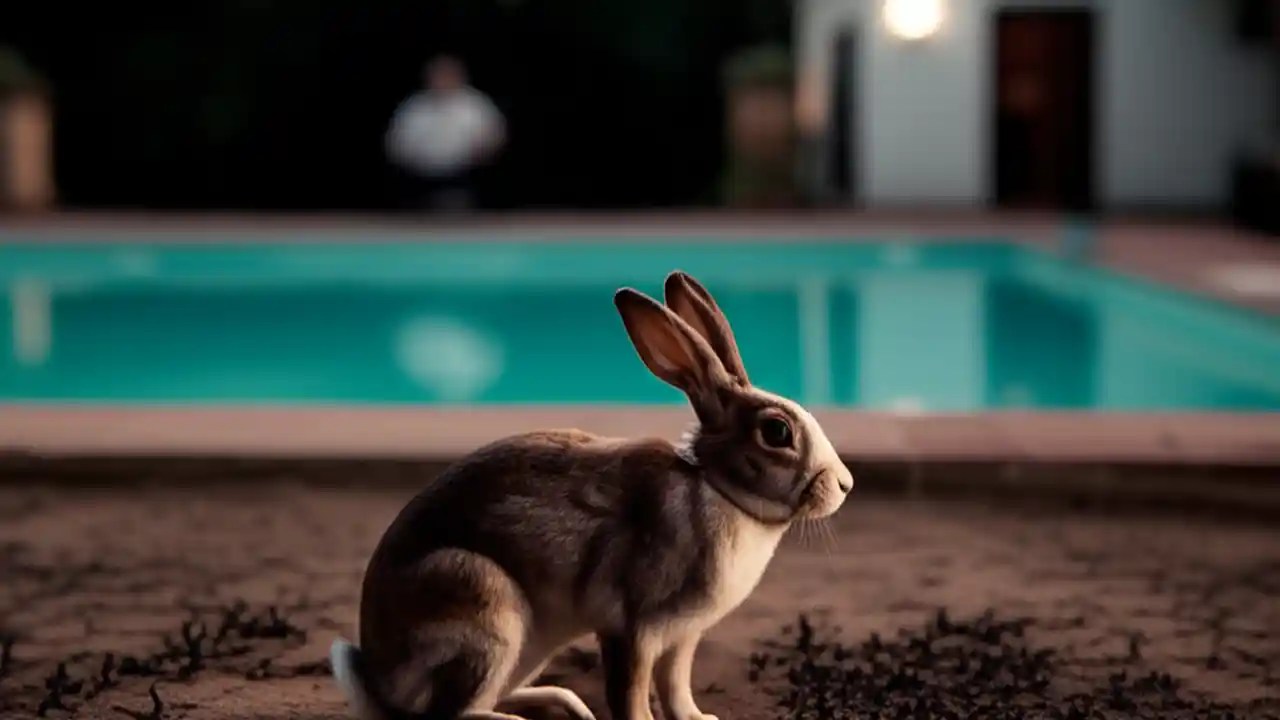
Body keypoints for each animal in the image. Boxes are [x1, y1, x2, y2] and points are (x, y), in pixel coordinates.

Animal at [330, 271, 854, 720]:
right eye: (777, 431)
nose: (845, 484)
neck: (717, 488)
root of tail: (381, 681)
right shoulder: (633, 627)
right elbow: (632, 692)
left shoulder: (683, 638)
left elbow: (676, 686)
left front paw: (699, 717)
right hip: (483, 606)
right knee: (455, 711)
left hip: (527, 645)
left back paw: (567, 704)